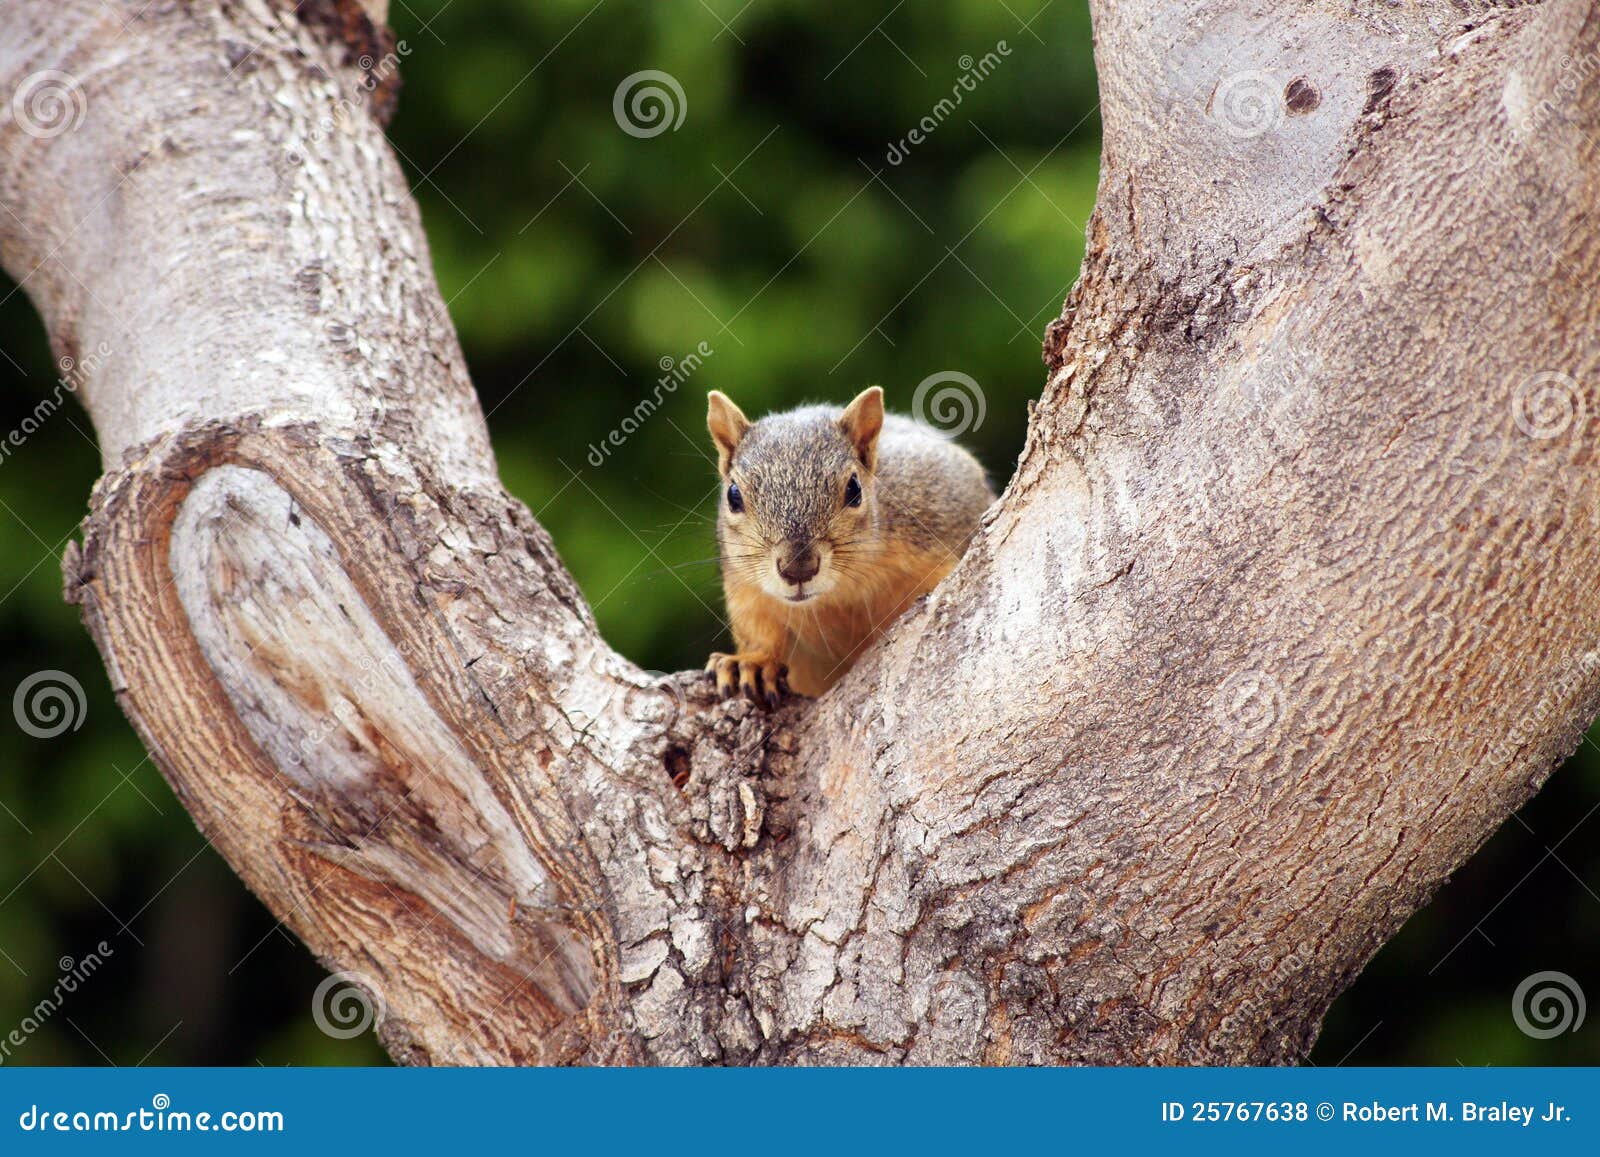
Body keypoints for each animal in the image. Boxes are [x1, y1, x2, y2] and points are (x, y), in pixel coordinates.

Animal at [704, 386, 993, 705]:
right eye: (733, 496)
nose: (798, 569)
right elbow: (758, 631)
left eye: (854, 488)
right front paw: (750, 663)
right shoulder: (746, 591)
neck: (835, 595)